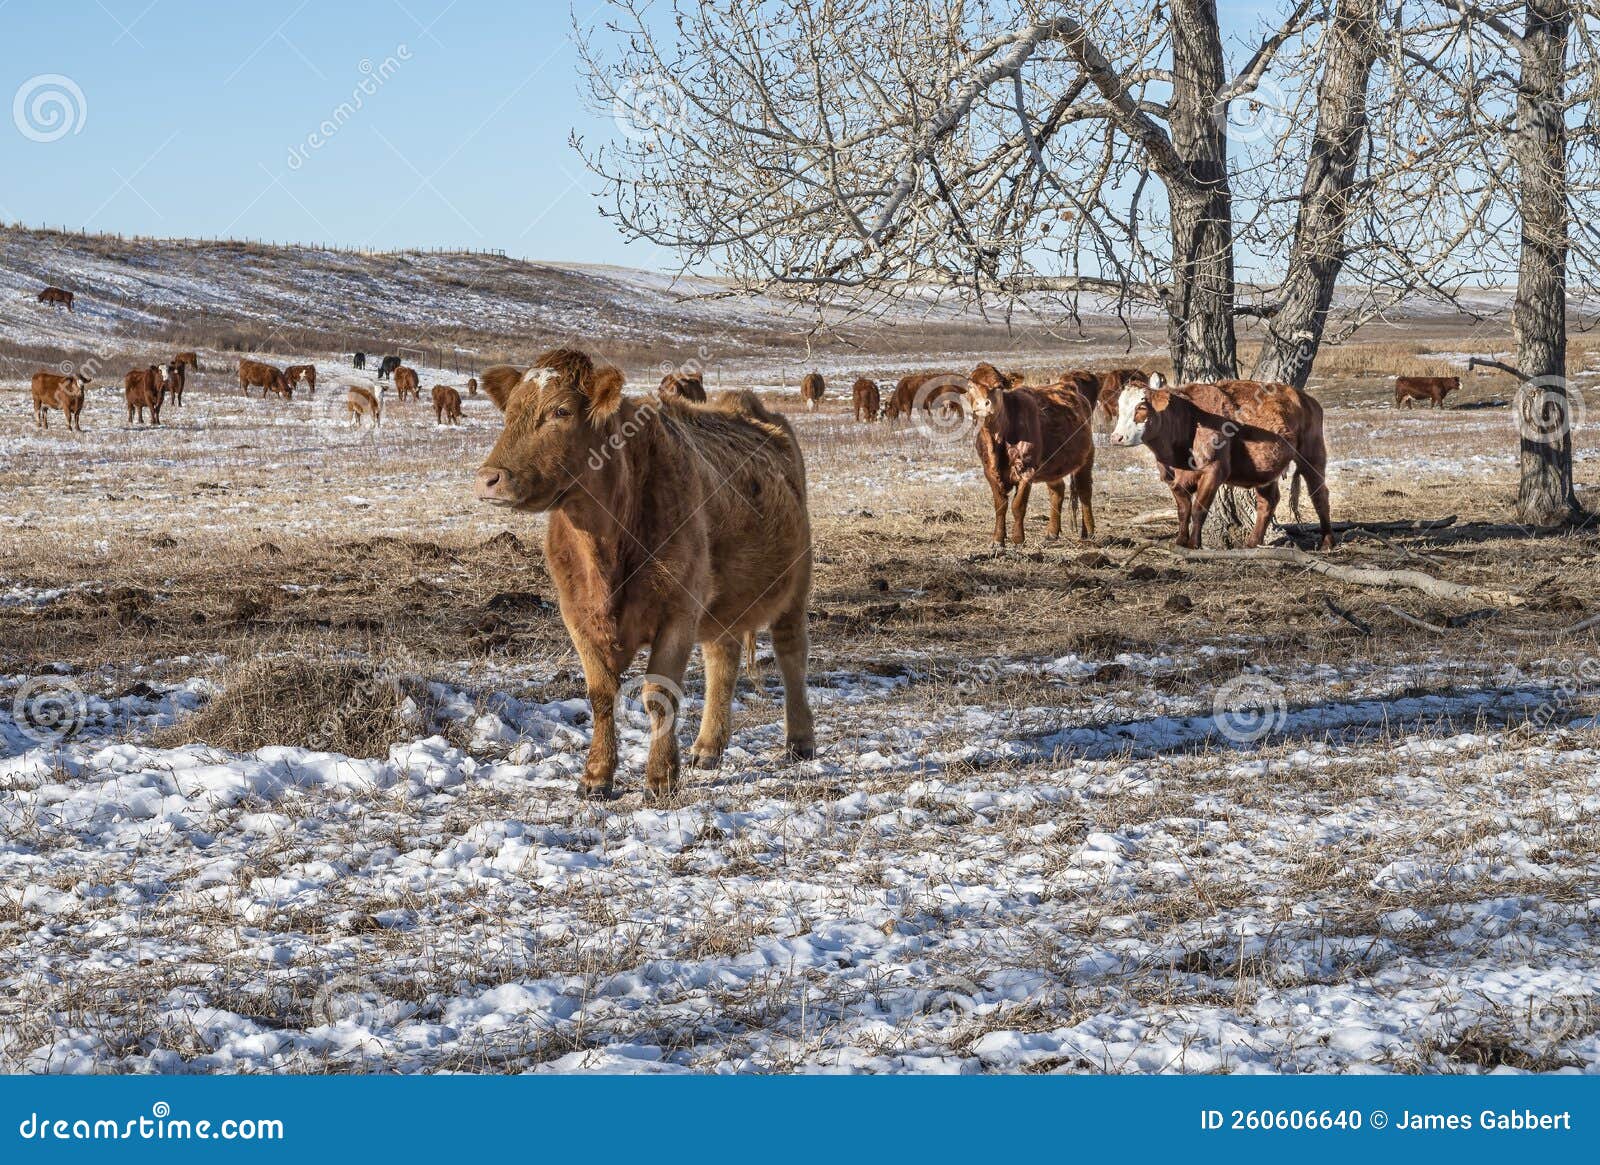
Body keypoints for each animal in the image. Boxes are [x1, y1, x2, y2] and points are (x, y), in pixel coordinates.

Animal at [474, 348, 815, 799]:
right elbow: (601, 694)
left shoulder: (678, 612)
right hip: (720, 604)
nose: (489, 479)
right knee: (722, 658)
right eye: (510, 411)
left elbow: (659, 693)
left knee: (791, 653)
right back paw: (708, 747)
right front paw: (596, 776)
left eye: (561, 411)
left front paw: (660, 777)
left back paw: (800, 741)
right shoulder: (576, 615)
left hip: (795, 584)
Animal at [966, 363, 1096, 547]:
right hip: (1053, 464)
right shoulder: (989, 471)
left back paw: (1089, 532)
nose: (984, 404)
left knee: (1085, 491)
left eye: (999, 386)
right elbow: (1000, 505)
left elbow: (1018, 506)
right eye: (970, 387)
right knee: (1057, 491)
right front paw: (997, 540)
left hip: (1086, 457)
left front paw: (1018, 539)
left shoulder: (1027, 470)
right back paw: (1052, 533)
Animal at [1110, 373, 1334, 551]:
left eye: (1141, 407)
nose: (1116, 437)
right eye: (1119, 408)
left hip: (1312, 455)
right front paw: (1180, 541)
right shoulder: (1172, 478)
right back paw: (1253, 542)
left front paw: (1194, 544)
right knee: (1268, 501)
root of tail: (1305, 398)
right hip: (1265, 468)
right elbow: (1183, 510)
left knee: (1319, 495)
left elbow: (1198, 509)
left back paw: (1327, 542)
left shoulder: (1214, 470)